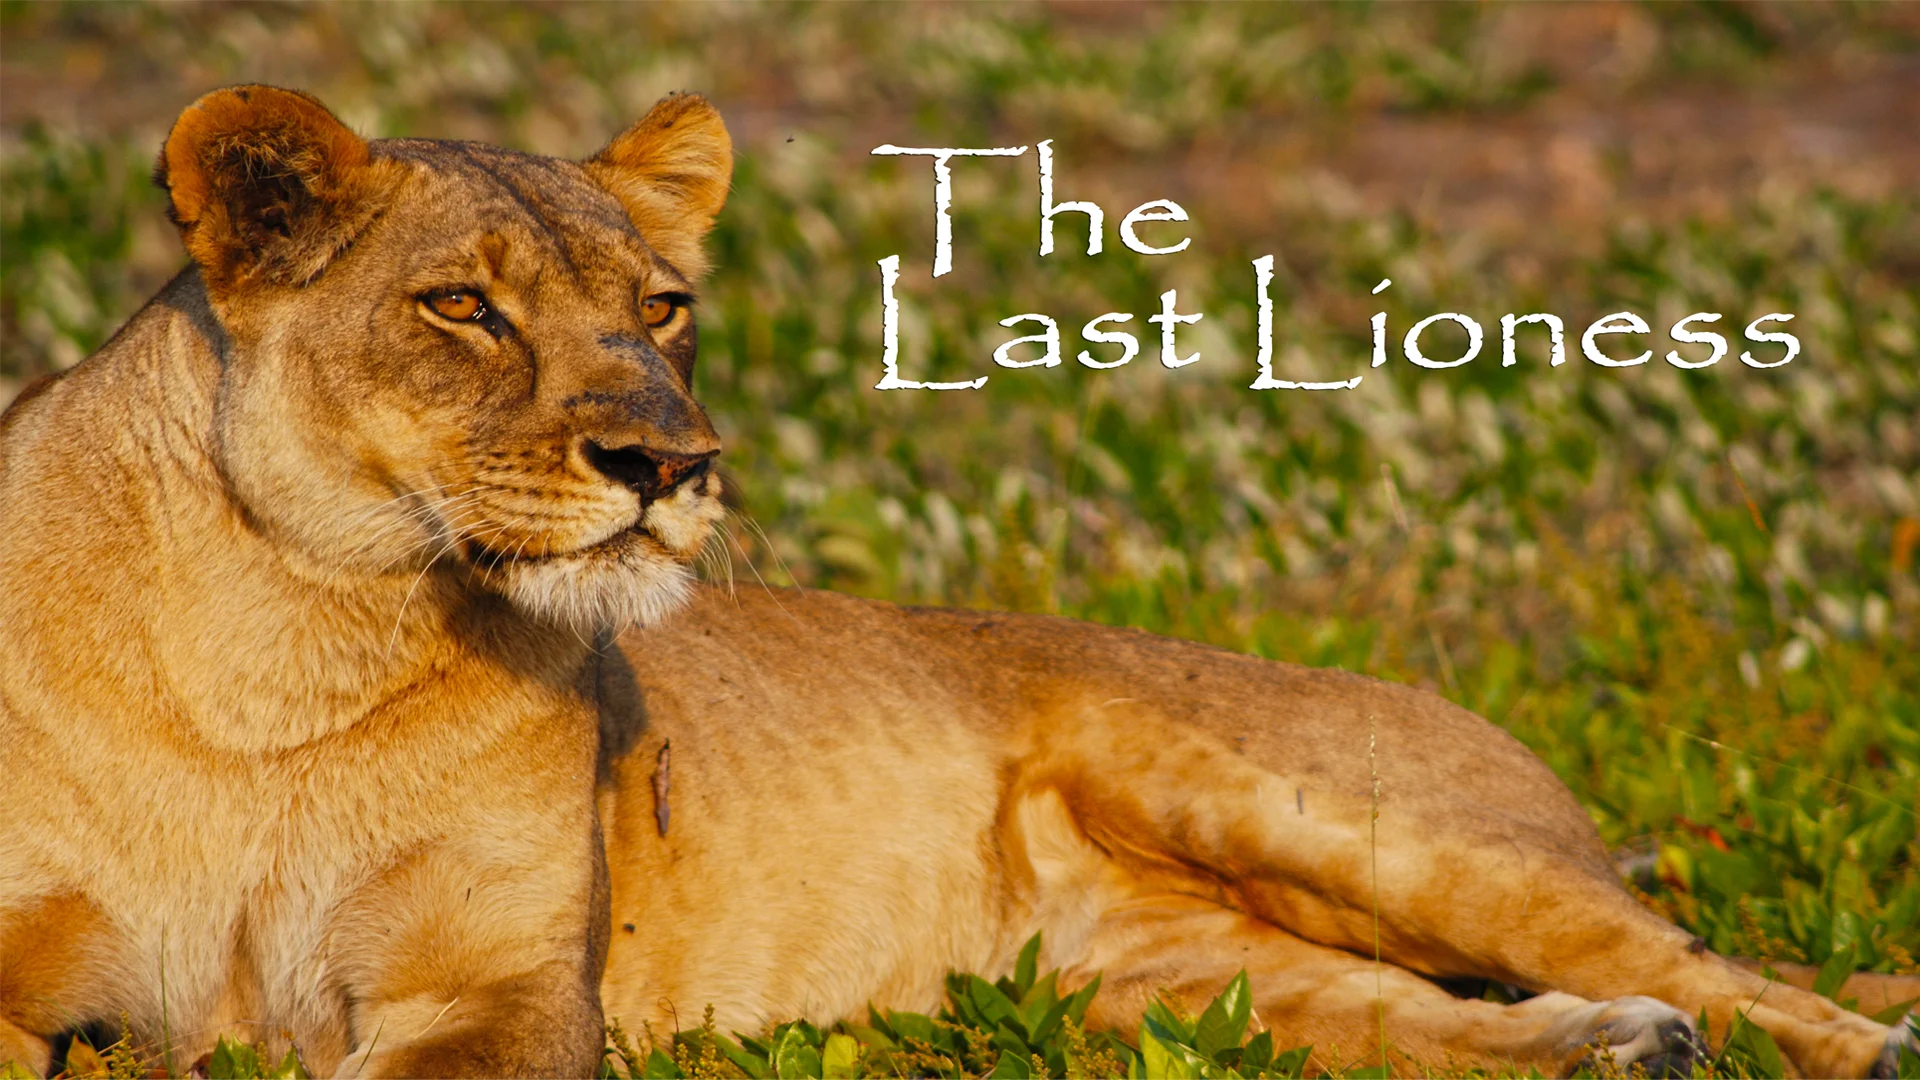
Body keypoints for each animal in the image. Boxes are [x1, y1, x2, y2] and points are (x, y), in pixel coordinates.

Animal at [1, 86, 1915, 1079]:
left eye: (662, 308)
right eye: (462, 308)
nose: (670, 464)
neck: (284, 652)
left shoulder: (506, 990)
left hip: (1354, 827)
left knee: (1714, 970)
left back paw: (1810, 1041)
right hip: (1170, 986)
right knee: (1408, 1024)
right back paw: (1615, 1046)